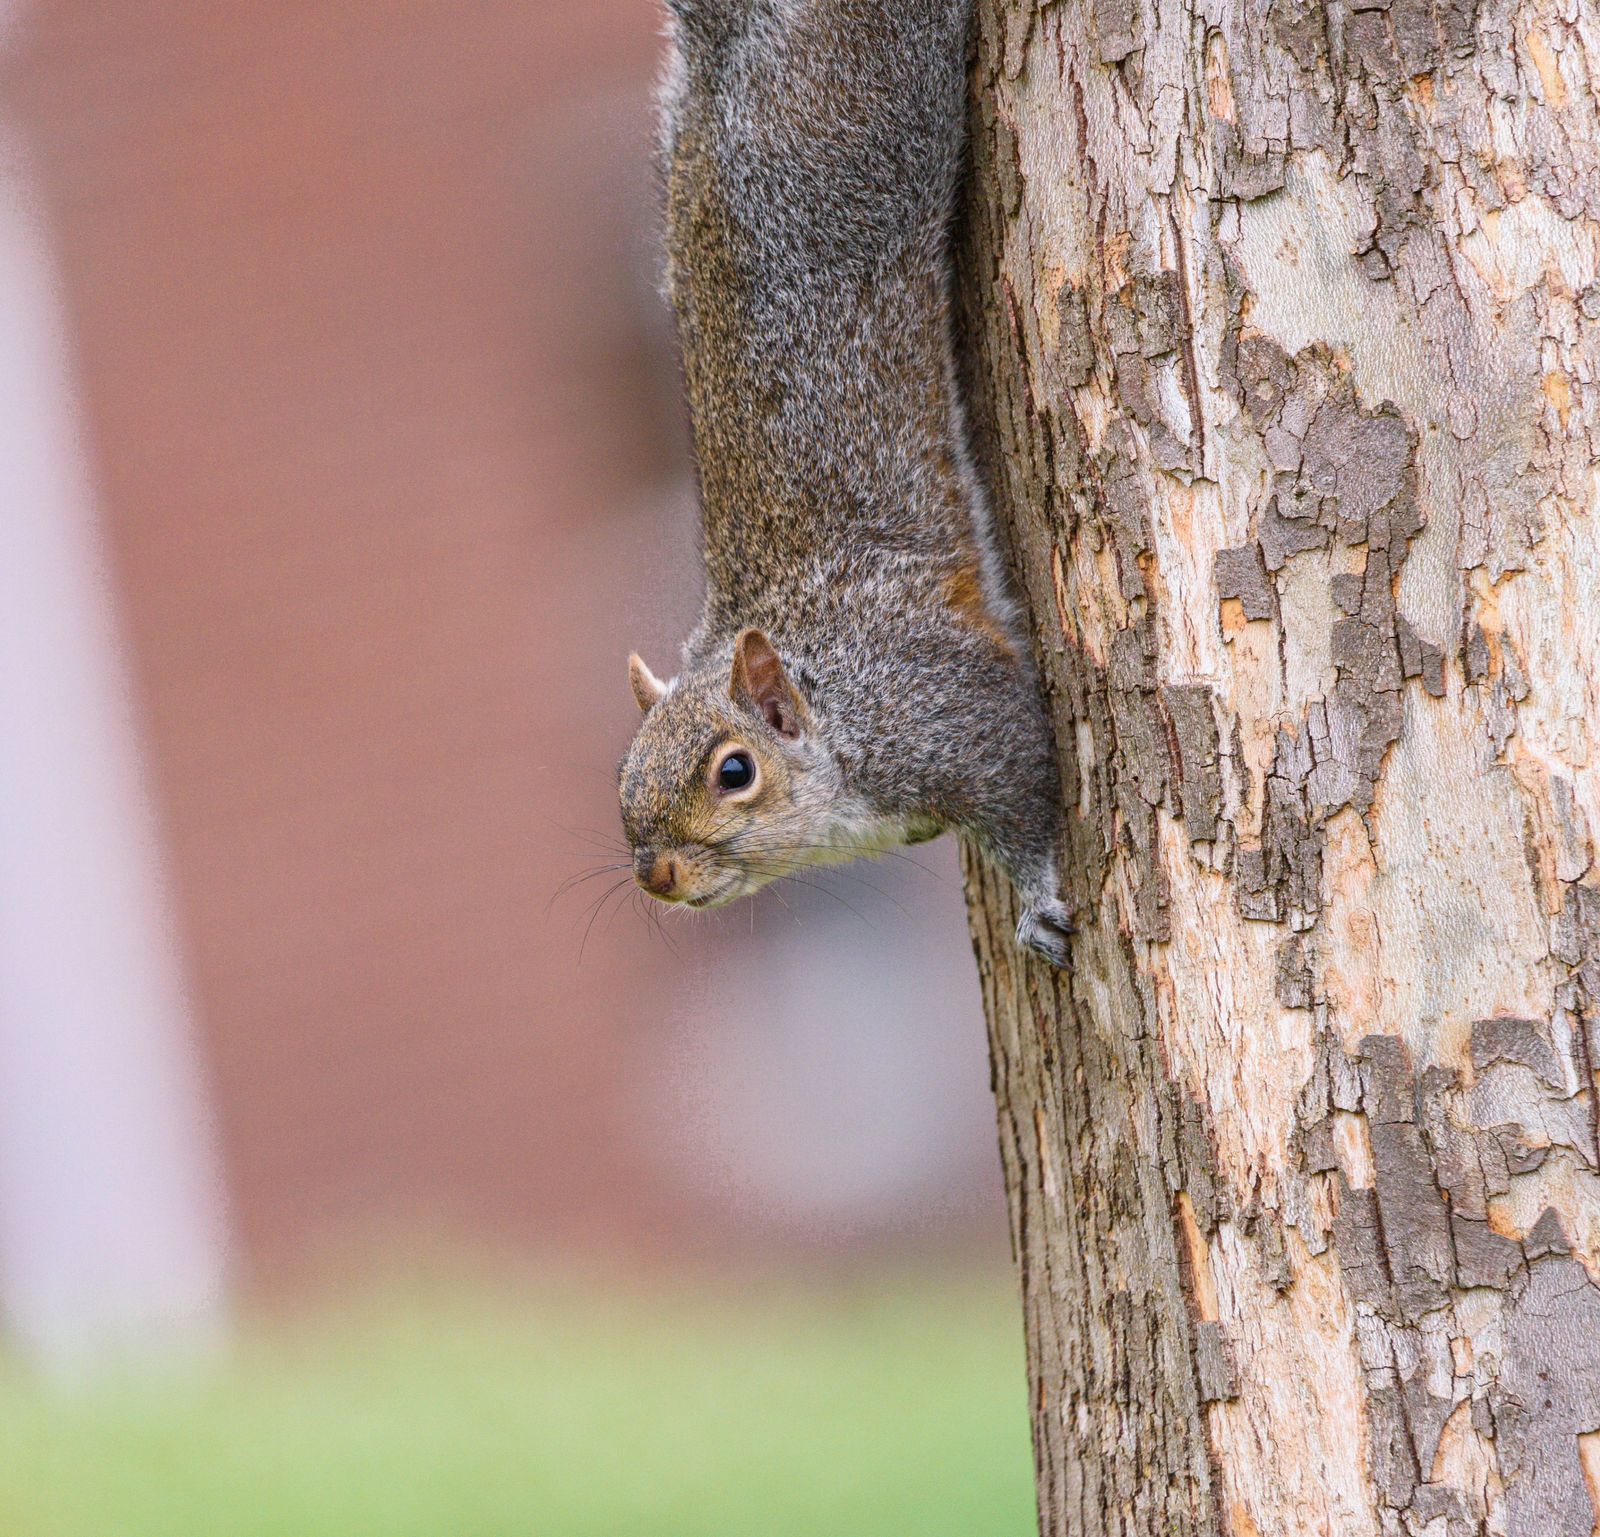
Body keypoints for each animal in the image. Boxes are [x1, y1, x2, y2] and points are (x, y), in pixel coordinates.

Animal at [617, 0, 1074, 968]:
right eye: (623, 775)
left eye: (735, 771)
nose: (655, 875)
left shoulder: (948, 709)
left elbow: (1025, 791)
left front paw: (1039, 900)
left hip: (877, 85)